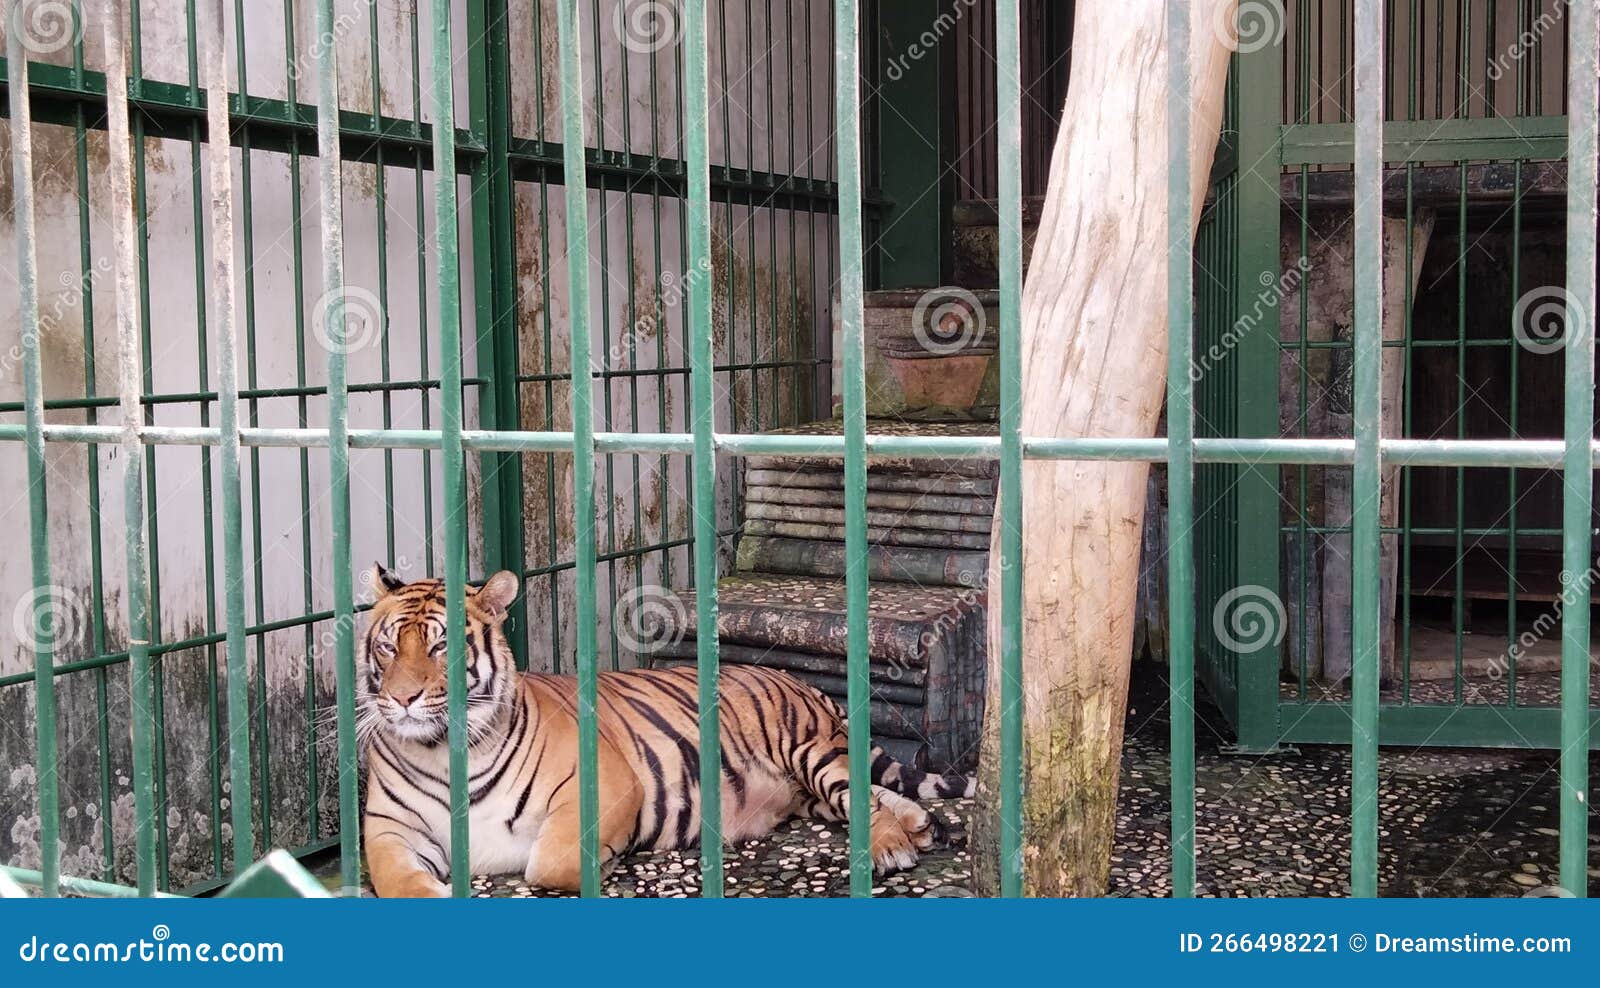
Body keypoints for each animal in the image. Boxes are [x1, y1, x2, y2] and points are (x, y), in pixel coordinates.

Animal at [359, 564, 975, 896]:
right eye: (388, 645)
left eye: (441, 646)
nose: (403, 698)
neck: (442, 749)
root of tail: (796, 680)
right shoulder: (389, 830)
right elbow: (398, 881)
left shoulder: (604, 783)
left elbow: (547, 862)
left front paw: (603, 860)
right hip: (808, 791)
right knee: (866, 792)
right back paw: (919, 826)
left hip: (808, 751)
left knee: (861, 795)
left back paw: (893, 845)